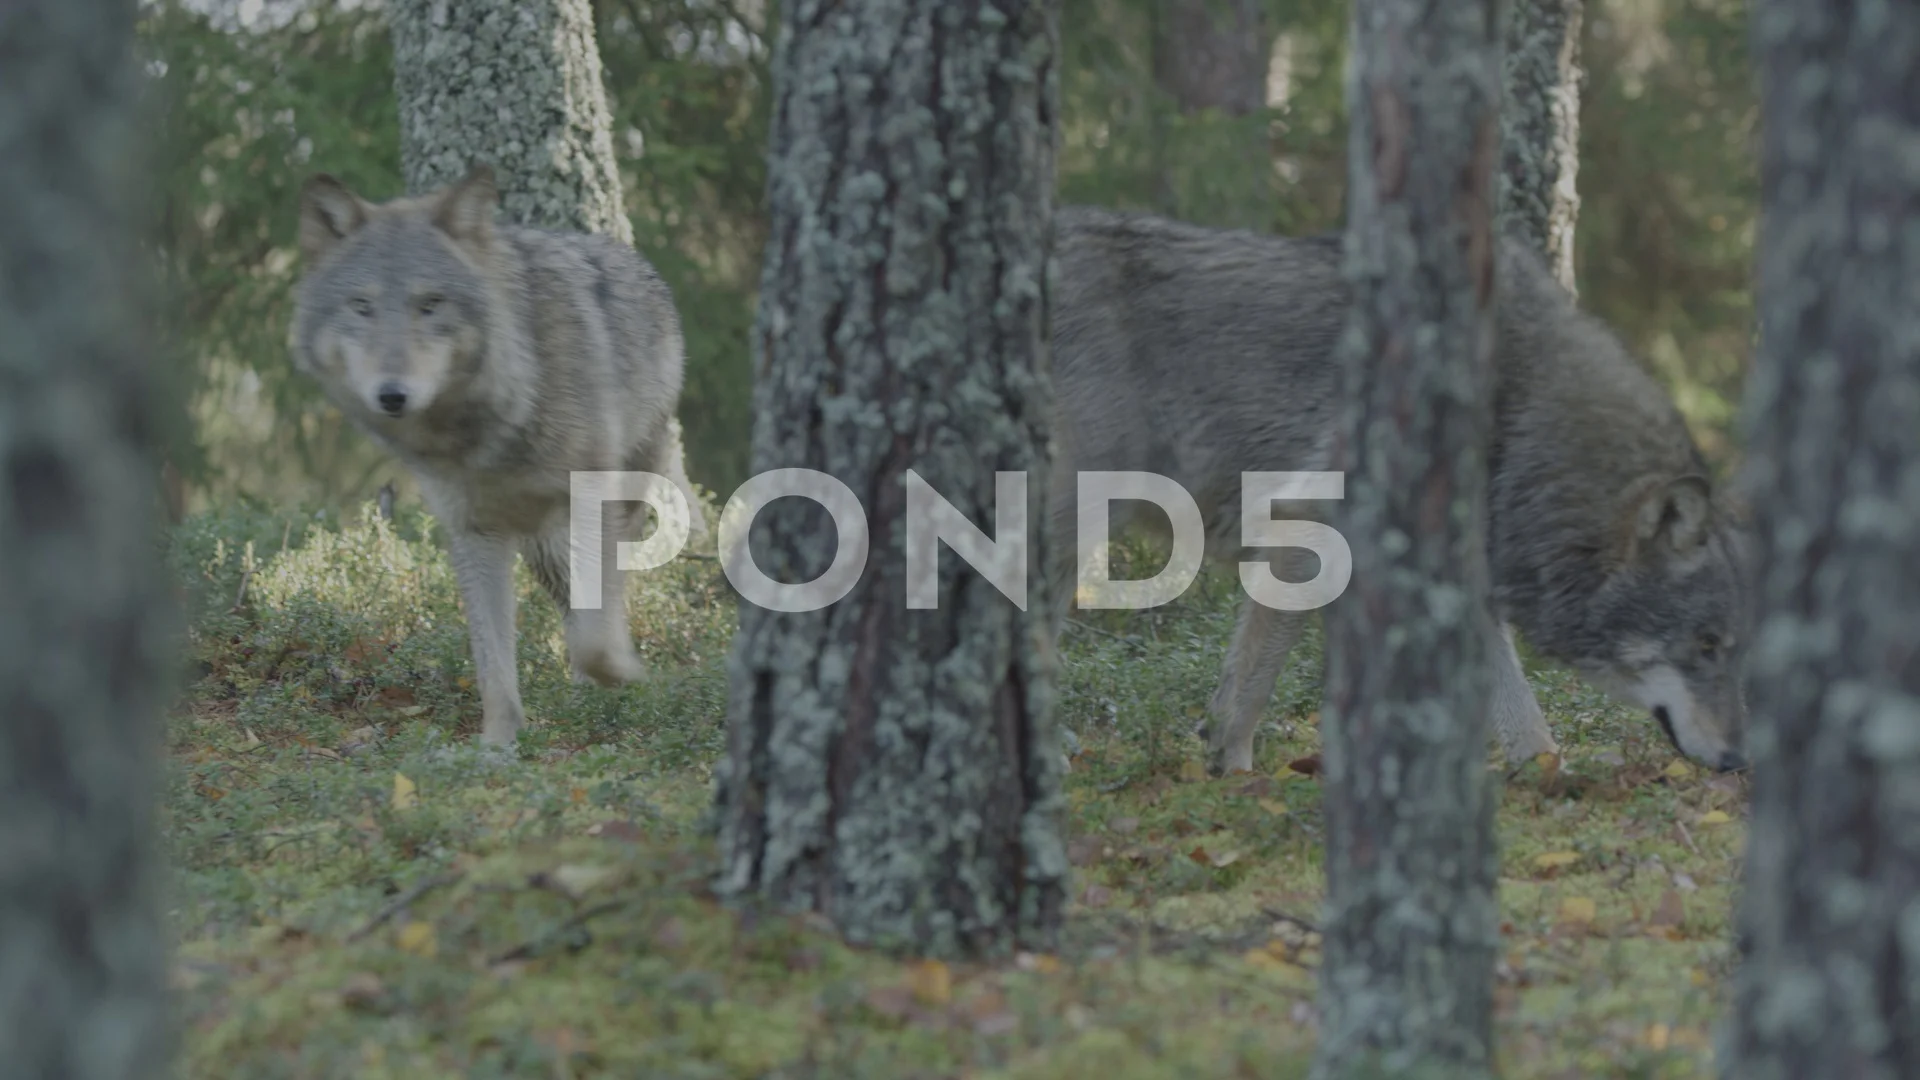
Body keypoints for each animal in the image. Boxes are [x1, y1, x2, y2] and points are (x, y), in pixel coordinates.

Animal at [290, 165, 705, 748]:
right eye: (362, 307)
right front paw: (497, 746)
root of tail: (629, 256)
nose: (392, 395)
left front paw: (628, 673)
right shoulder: (473, 532)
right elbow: (492, 663)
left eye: (430, 304)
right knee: (570, 602)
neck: (485, 432)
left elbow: (597, 639)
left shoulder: (591, 504)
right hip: (543, 547)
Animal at [1042, 206, 1753, 775]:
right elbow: (1251, 687)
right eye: (1705, 645)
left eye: (1728, 647)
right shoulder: (1305, 529)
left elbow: (1524, 714)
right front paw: (1236, 778)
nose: (1738, 761)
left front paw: (1549, 776)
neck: (1520, 417)